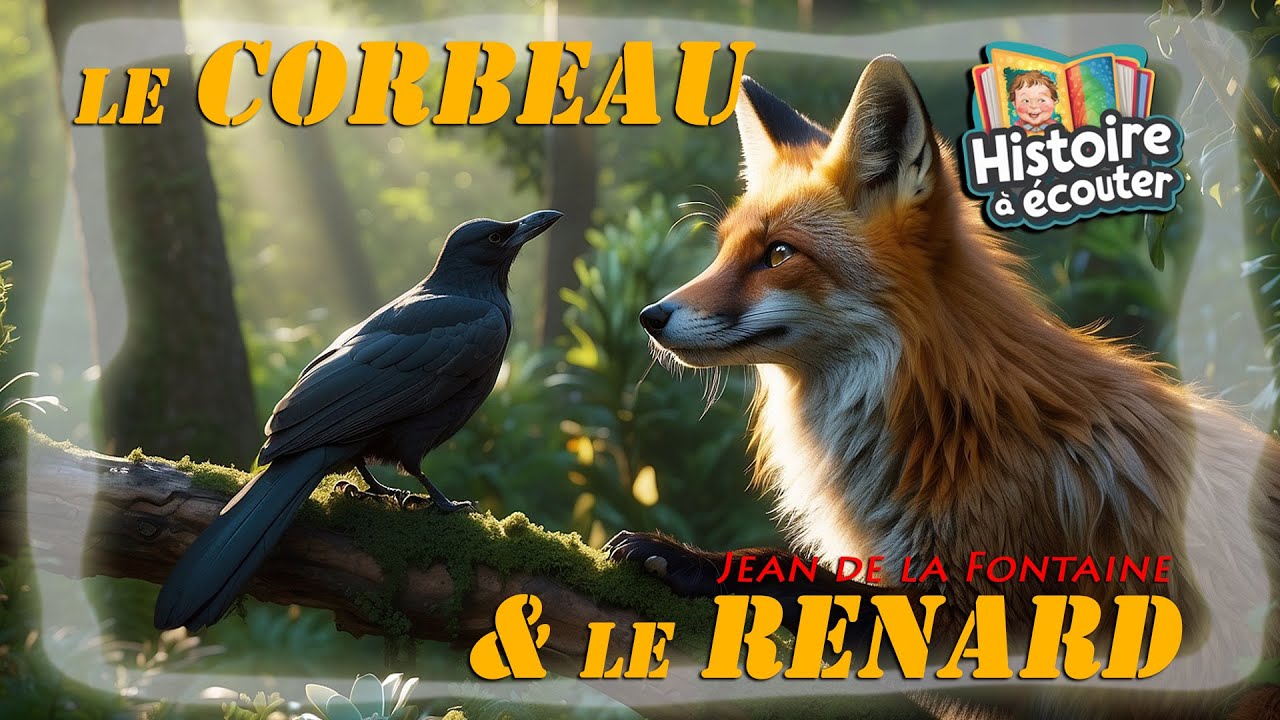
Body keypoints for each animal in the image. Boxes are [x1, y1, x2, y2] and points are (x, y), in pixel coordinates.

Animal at [605, 56, 1280, 719]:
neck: (953, 418)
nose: (650, 316)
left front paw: (690, 561)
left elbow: (794, 576)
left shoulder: (994, 615)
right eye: (722, 252)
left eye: (778, 255)